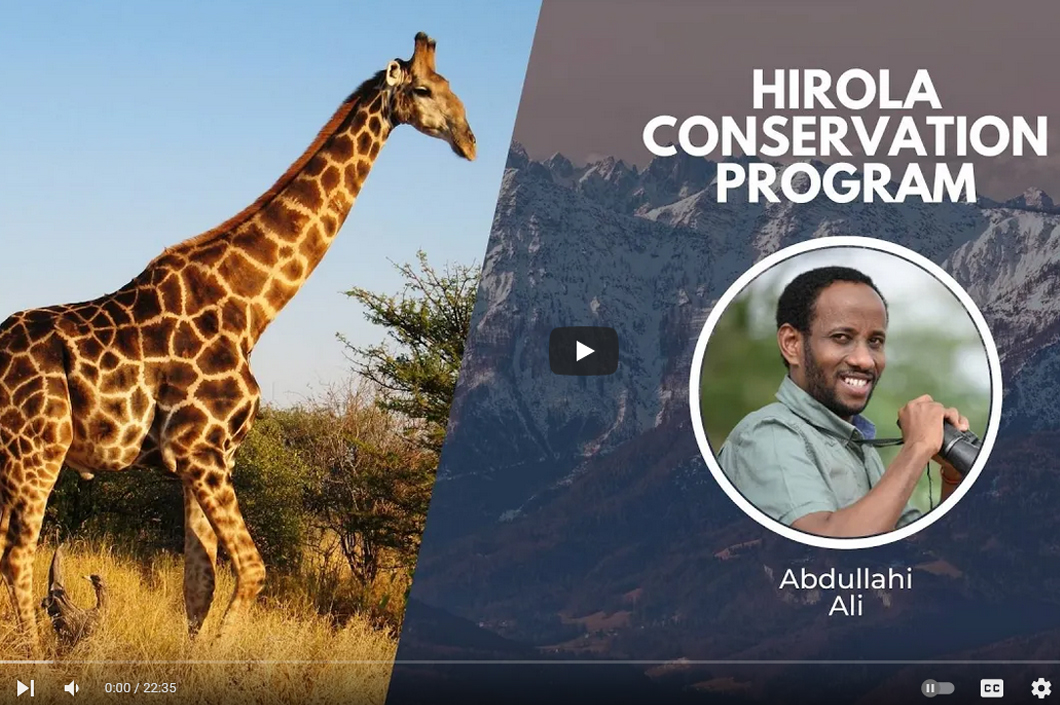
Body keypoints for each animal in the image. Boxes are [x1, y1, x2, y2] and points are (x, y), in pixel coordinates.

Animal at [0, 32, 475, 650]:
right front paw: (219, 652)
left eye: (450, 84)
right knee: (17, 554)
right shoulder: (200, 450)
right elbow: (251, 571)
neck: (251, 306)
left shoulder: (206, 457)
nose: (469, 140)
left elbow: (198, 584)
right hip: (37, 449)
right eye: (422, 89)